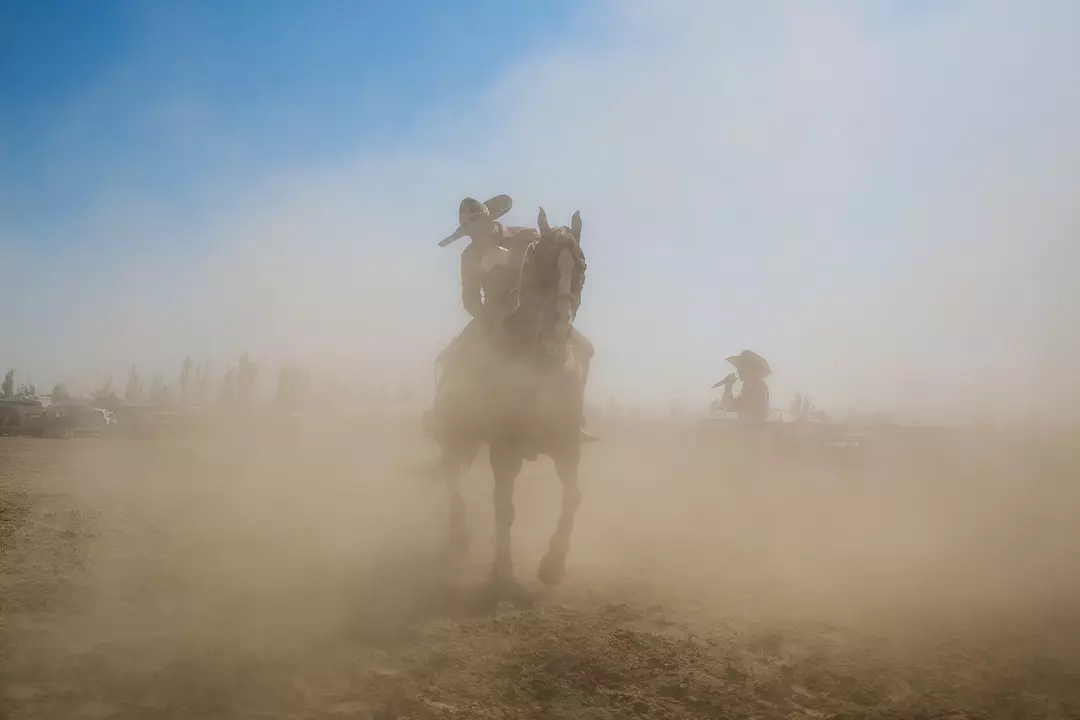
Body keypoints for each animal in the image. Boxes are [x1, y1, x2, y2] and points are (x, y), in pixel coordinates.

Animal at [427, 205, 591, 595]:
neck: (540, 368)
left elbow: (573, 497)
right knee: (453, 478)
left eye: (581, 267)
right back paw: (459, 535)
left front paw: (552, 566)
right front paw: (502, 570)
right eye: (543, 263)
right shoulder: (504, 448)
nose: (558, 329)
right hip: (456, 435)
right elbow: (504, 506)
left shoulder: (567, 447)